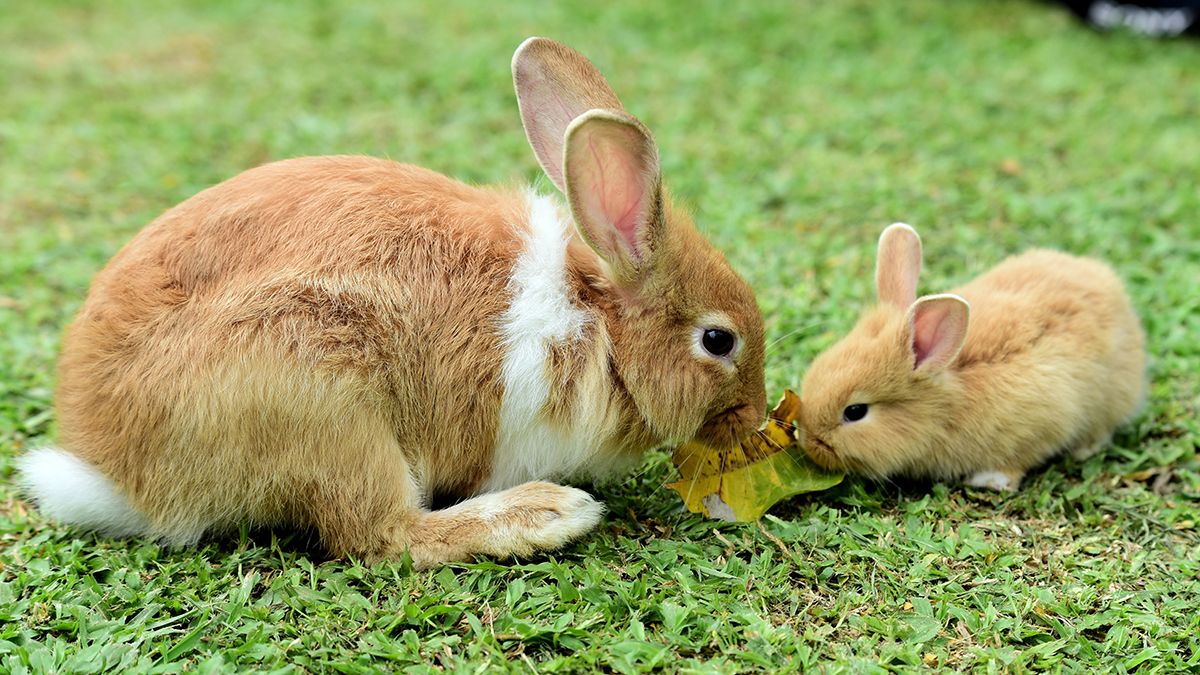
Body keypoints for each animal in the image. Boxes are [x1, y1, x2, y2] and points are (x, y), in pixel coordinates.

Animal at [17, 37, 767, 569]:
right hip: (325, 401)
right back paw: (548, 515)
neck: (599, 324)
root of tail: (119, 474)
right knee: (383, 537)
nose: (757, 418)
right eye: (719, 341)